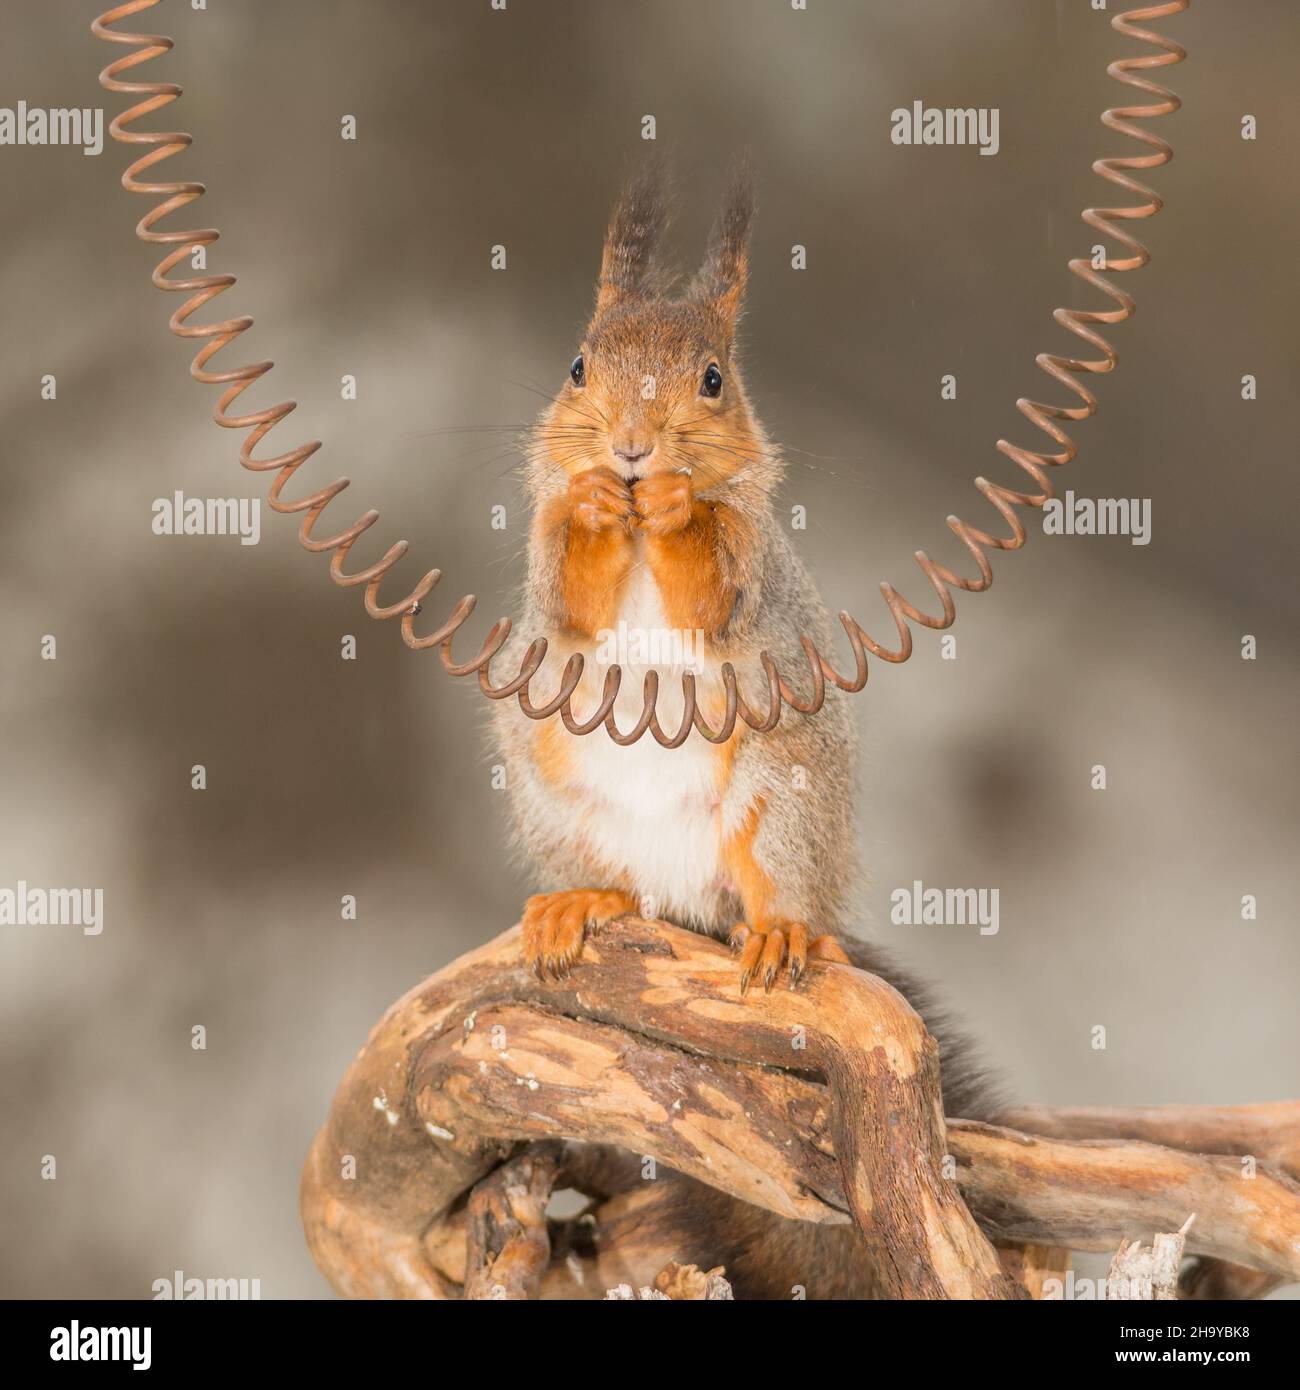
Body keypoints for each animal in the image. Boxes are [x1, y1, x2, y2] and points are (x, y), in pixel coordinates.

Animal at [489, 164, 1001, 1296]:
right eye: (579, 364)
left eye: (715, 380)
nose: (634, 447)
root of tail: (689, 907)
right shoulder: (547, 582)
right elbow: (570, 594)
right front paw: (597, 498)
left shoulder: (750, 575)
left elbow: (709, 585)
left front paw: (678, 502)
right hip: (556, 800)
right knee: (618, 888)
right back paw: (583, 904)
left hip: (781, 797)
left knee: (774, 895)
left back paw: (780, 934)